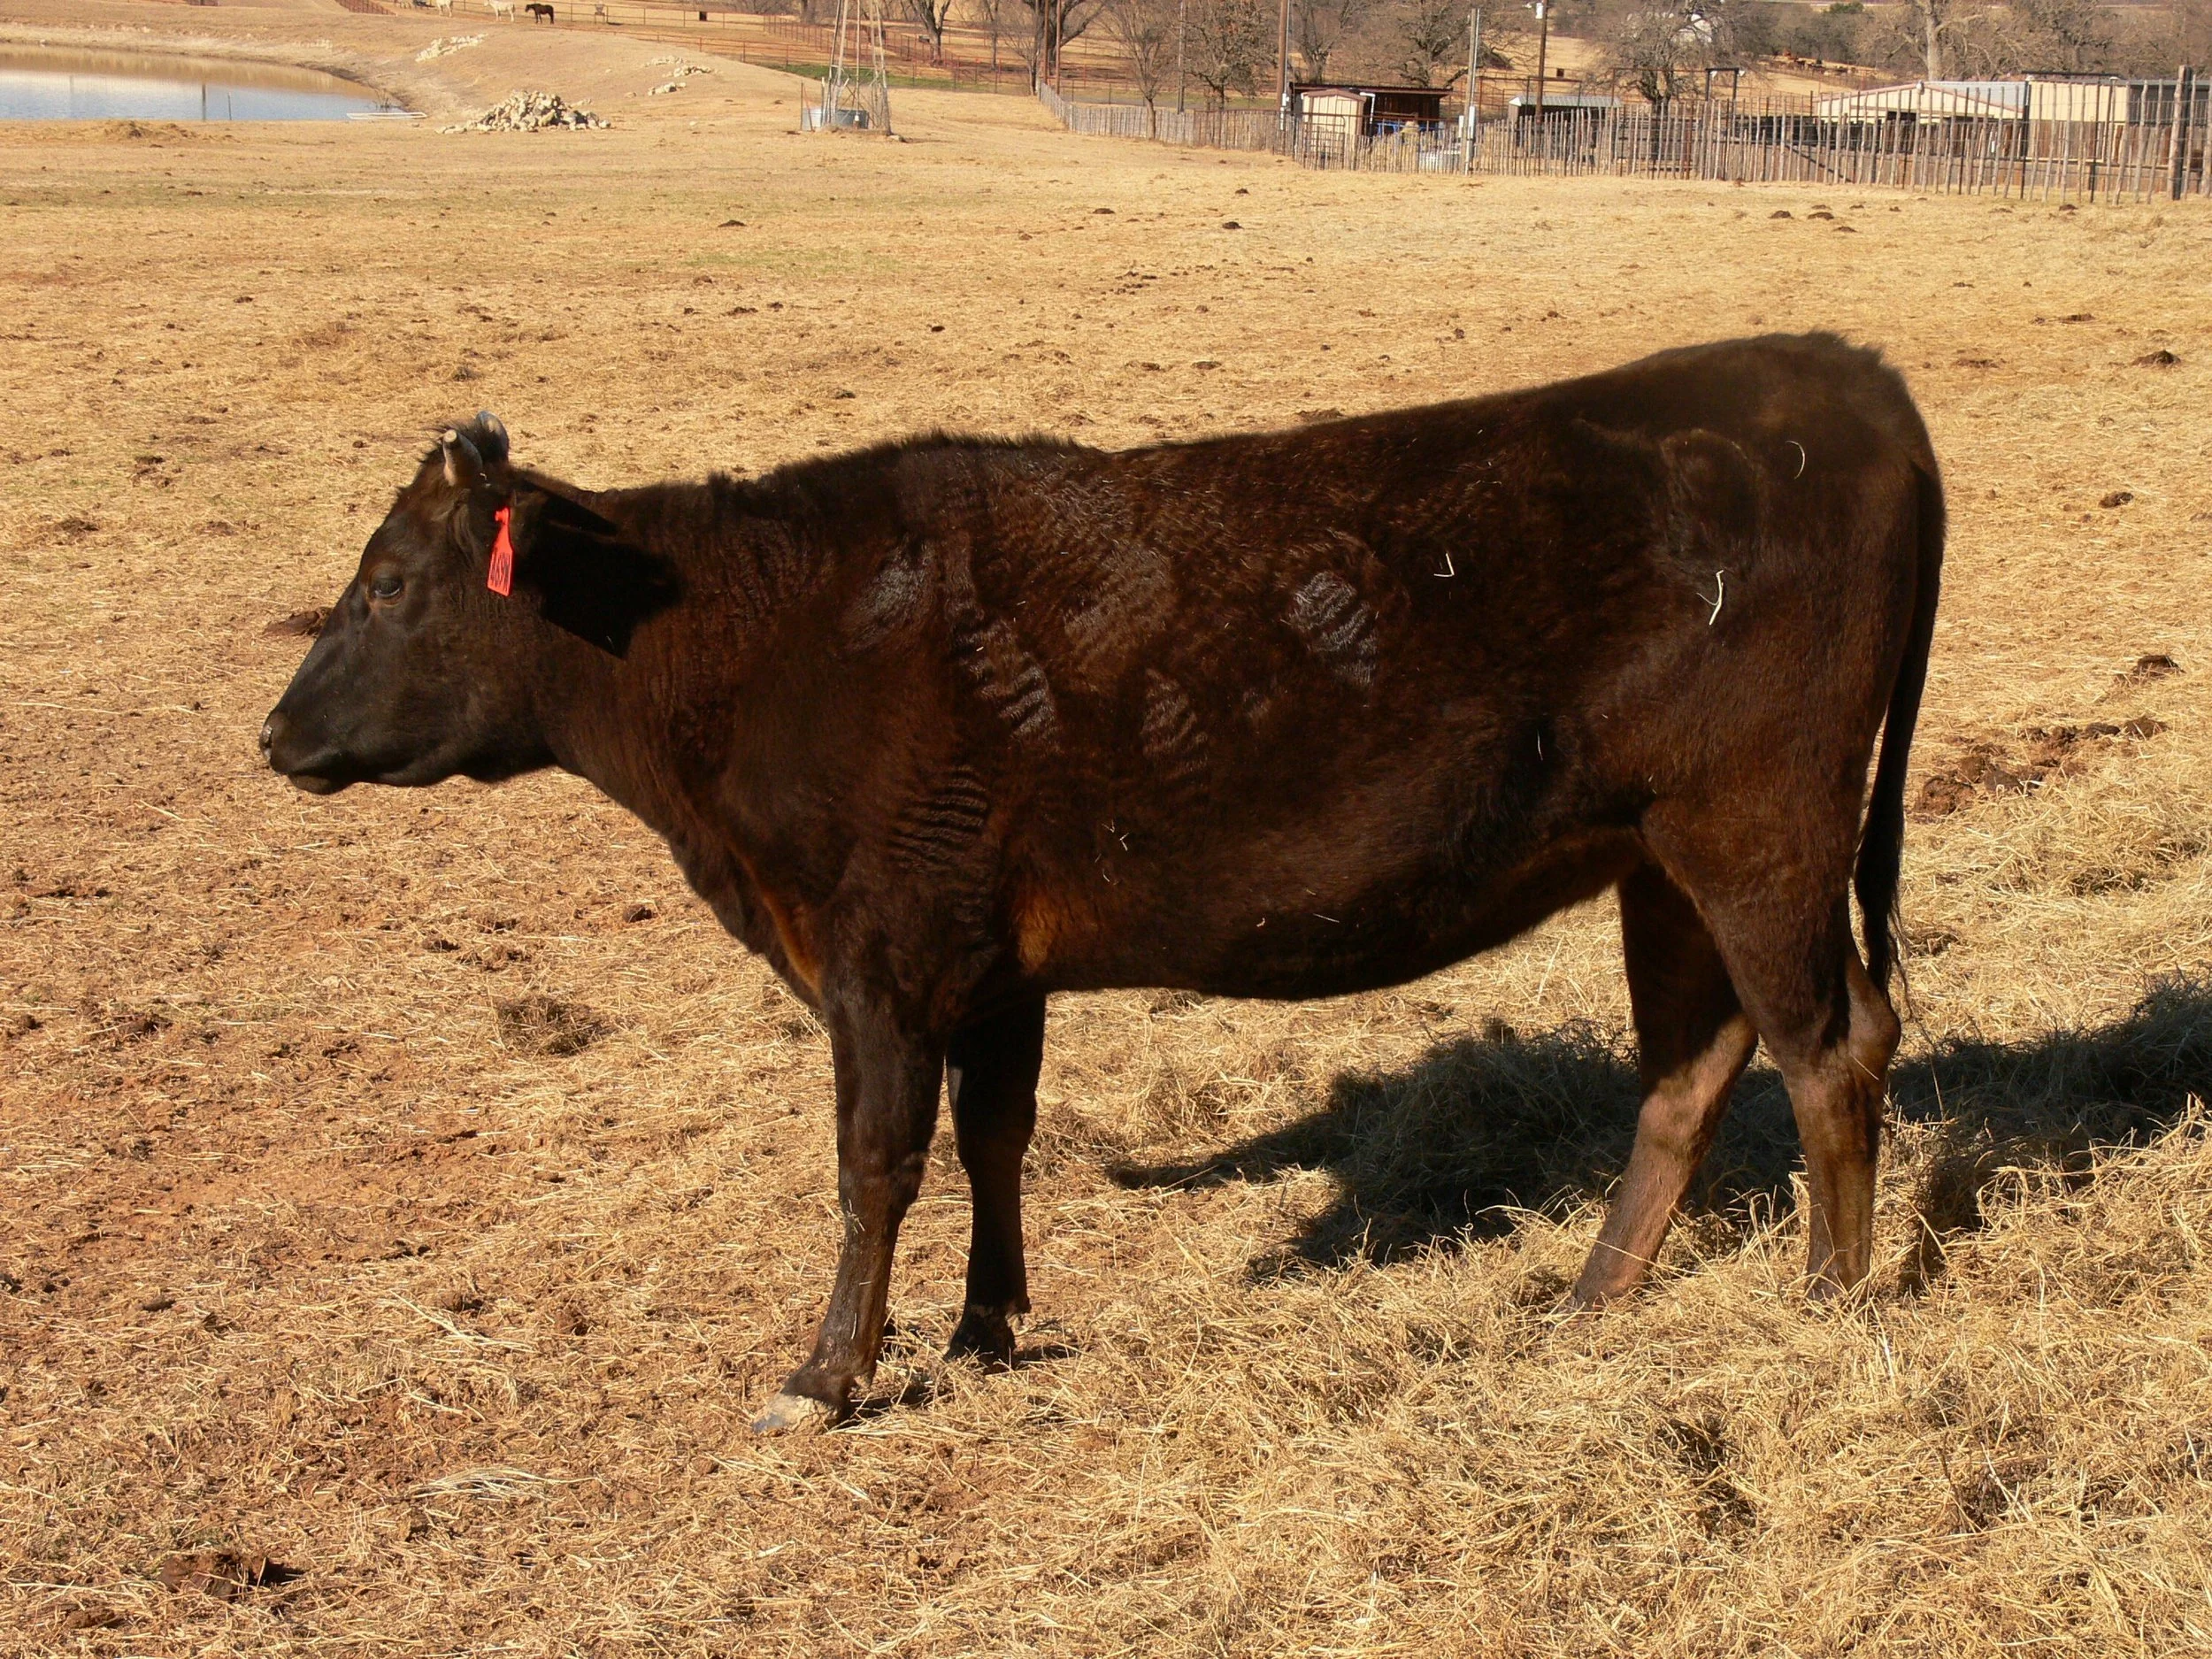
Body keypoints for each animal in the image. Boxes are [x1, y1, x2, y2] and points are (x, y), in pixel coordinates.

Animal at [262, 334, 1943, 1433]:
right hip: (1662, 859)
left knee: (1831, 1043)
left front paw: (827, 1374)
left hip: (1763, 828)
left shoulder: (883, 957)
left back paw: (1828, 1299)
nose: (275, 734)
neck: (769, 638)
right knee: (1693, 1067)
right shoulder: (994, 964)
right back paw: (1591, 1299)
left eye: (390, 583)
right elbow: (995, 1137)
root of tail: (1838, 369)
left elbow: (877, 1162)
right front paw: (985, 1326)